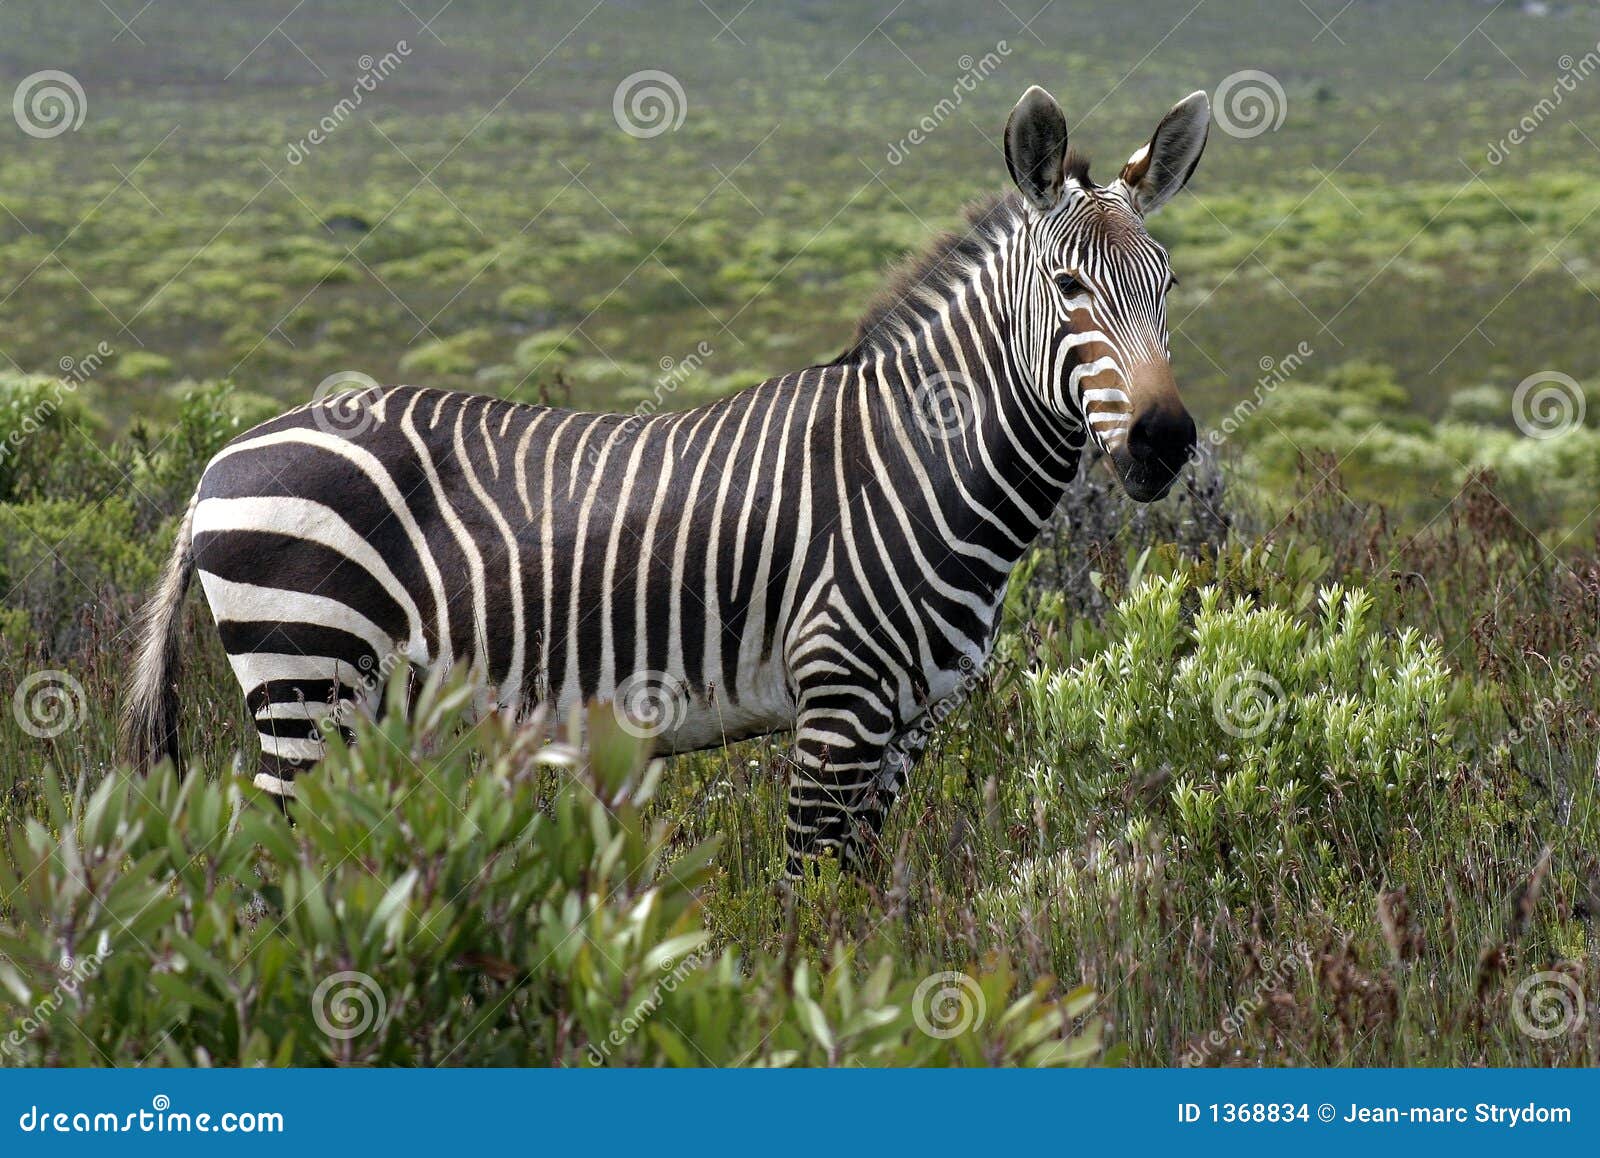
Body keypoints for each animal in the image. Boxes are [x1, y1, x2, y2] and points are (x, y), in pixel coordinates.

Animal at [124, 85, 1209, 876]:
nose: (1163, 443)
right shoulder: (838, 705)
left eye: (1167, 285)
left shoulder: (910, 723)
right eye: (1068, 288)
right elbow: (806, 899)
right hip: (310, 688)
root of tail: (217, 462)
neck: (917, 465)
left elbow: (859, 897)